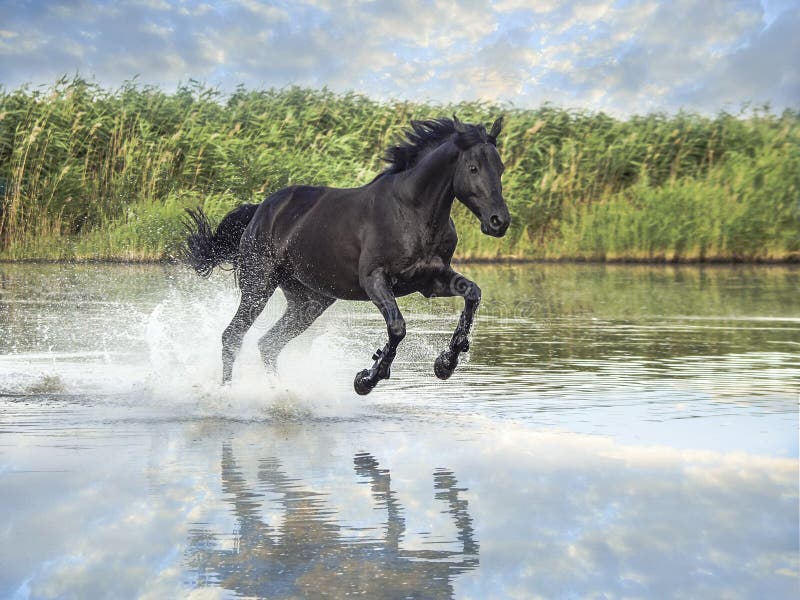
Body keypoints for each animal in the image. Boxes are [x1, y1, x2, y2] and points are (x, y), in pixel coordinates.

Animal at [183, 115, 510, 395]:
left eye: (501, 168)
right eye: (473, 168)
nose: (499, 221)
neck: (412, 213)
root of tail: (261, 209)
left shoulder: (431, 280)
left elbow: (472, 294)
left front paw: (446, 363)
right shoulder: (375, 280)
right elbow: (397, 327)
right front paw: (366, 379)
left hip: (310, 301)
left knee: (269, 344)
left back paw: (281, 393)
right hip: (259, 285)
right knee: (233, 336)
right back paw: (228, 393)